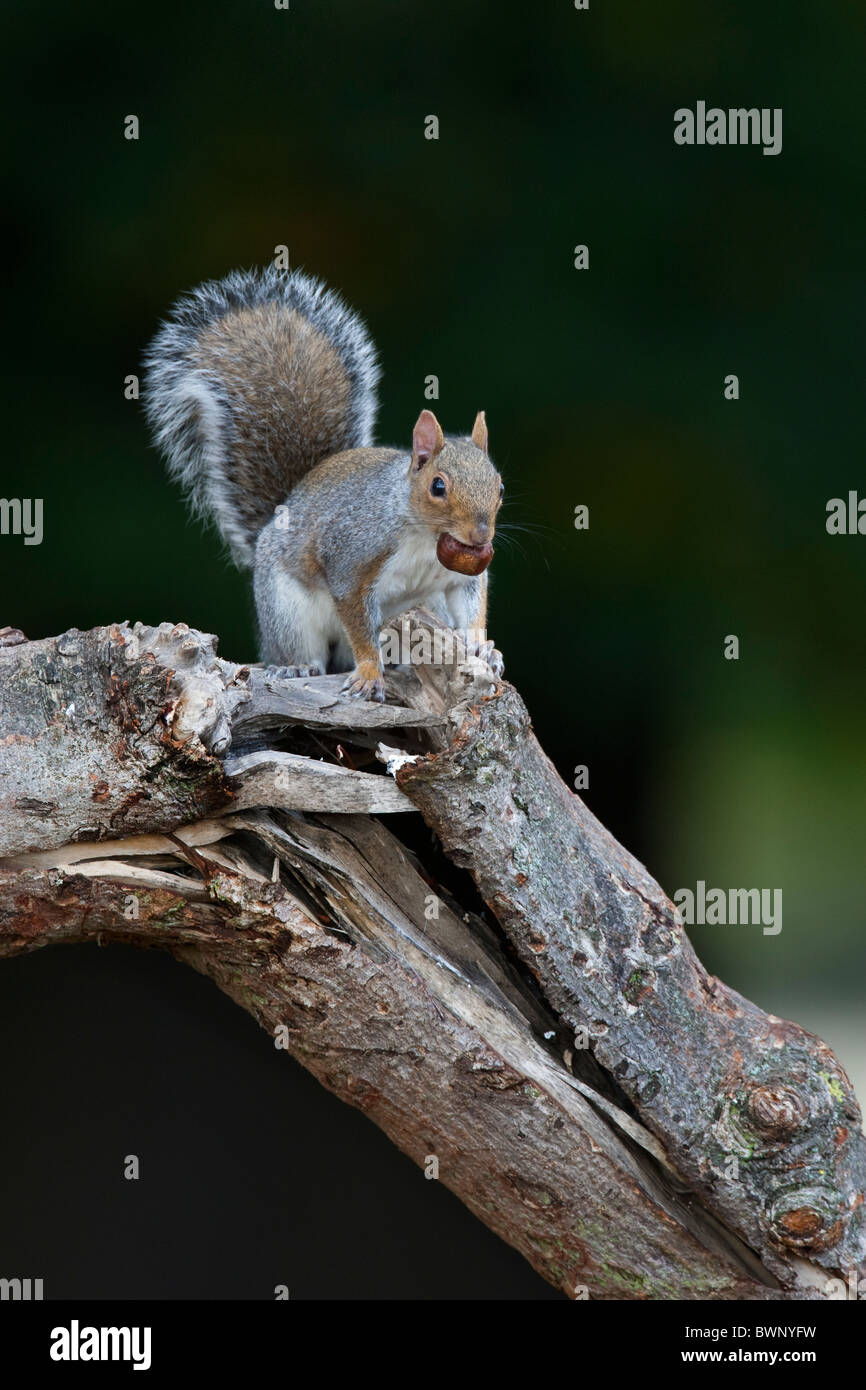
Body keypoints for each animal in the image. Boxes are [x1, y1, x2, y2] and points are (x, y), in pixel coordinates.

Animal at [144, 266, 504, 702]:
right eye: (438, 487)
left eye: (500, 487)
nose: (481, 536)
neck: (423, 536)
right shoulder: (353, 556)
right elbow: (357, 618)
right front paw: (369, 672)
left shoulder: (456, 581)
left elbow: (471, 604)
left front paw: (483, 647)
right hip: (286, 609)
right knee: (305, 649)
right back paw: (297, 667)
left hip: (427, 607)